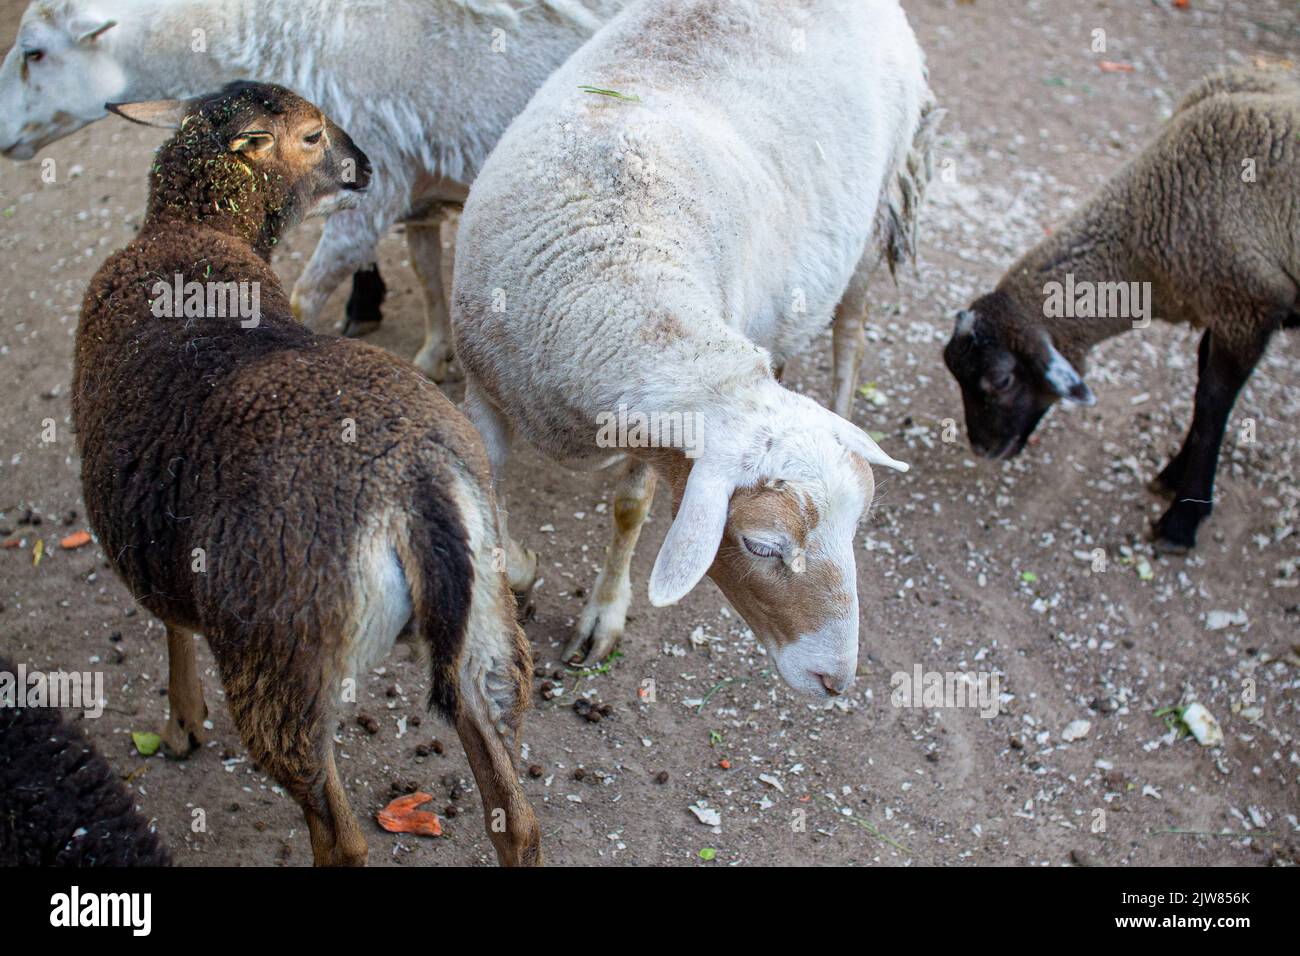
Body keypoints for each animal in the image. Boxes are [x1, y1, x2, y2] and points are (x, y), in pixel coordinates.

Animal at [0, 0, 629, 381]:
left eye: (34, 52)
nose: (3, 134)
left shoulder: (374, 190)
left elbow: (305, 297)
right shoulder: (417, 193)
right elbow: (427, 273)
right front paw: (432, 355)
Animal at [73, 82, 540, 866]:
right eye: (315, 134)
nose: (368, 167)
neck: (192, 234)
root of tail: (413, 486)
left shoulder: (152, 542)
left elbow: (170, 625)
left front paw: (181, 724)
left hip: (281, 657)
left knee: (341, 833)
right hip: (485, 628)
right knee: (516, 815)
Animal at [451, 0, 931, 697]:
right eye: (762, 545)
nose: (838, 681)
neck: (617, 269)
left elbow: (629, 509)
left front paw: (603, 614)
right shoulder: (484, 386)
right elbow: (485, 487)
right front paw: (518, 570)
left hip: (873, 221)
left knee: (851, 330)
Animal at [943, 68, 1299, 553]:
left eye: (1001, 381)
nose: (982, 449)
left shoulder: (1247, 308)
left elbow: (1212, 403)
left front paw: (1183, 519)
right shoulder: (1220, 306)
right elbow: (1202, 388)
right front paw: (1174, 476)